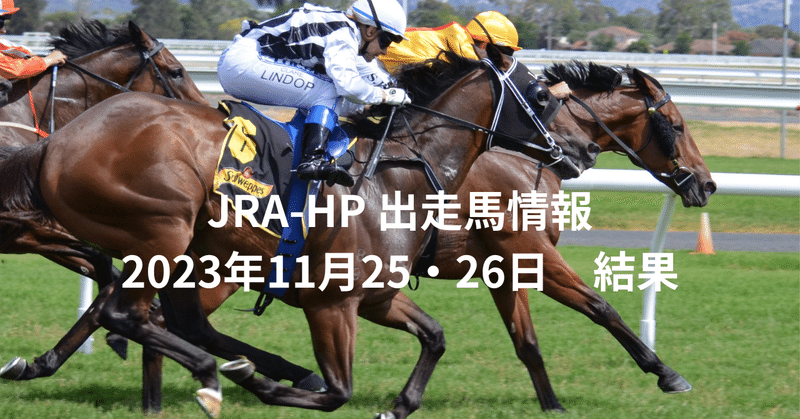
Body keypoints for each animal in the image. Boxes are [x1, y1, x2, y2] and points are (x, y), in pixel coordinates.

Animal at [0, 50, 598, 417]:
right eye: (543, 98)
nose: (580, 150)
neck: (397, 175)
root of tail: (53, 145)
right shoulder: (332, 303)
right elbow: (339, 391)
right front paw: (271, 386)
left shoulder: (376, 297)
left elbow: (434, 335)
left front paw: (399, 405)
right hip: (162, 234)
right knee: (127, 313)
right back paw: (216, 376)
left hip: (186, 254)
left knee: (162, 316)